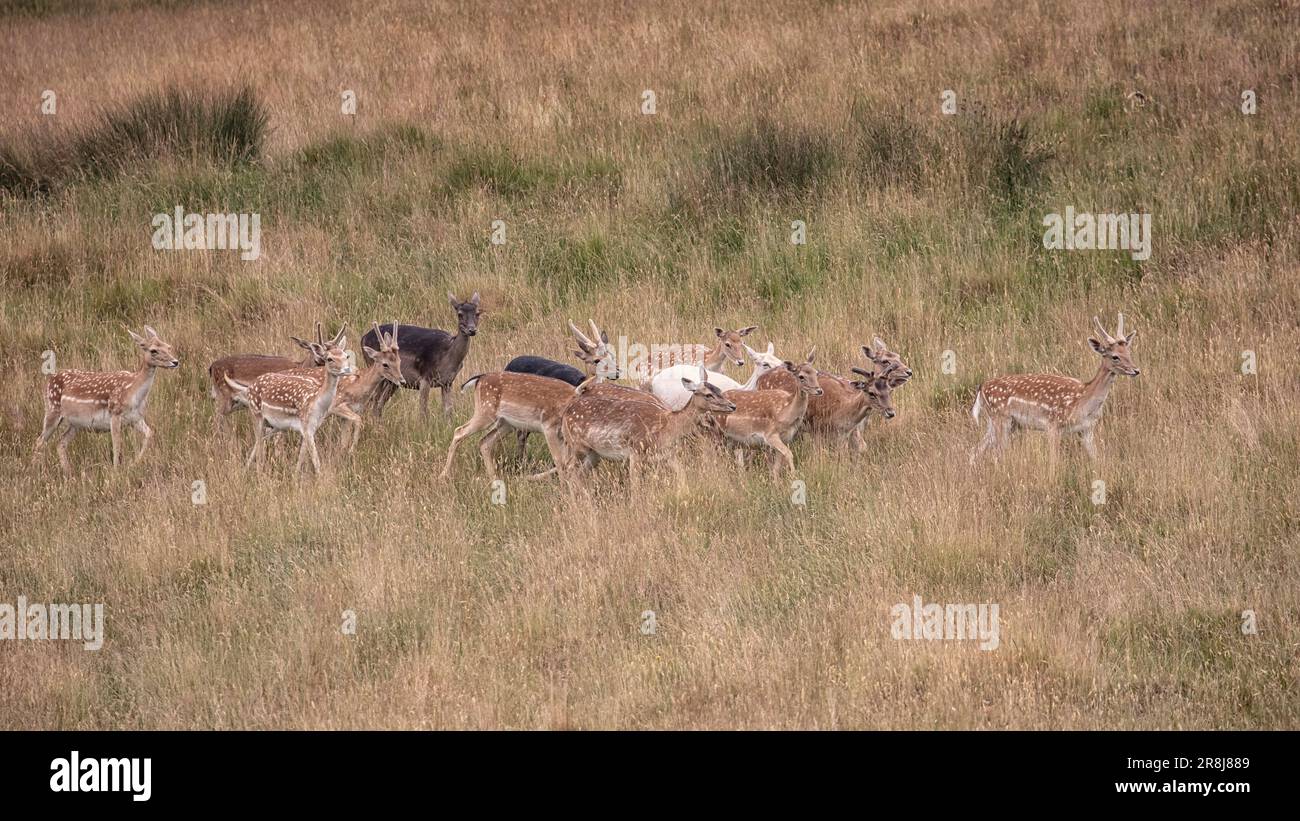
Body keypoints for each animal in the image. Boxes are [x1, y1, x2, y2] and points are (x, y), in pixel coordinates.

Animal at [33, 326, 180, 477]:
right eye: (153, 350)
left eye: (168, 347)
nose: (175, 362)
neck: (132, 390)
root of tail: (49, 380)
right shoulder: (115, 413)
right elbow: (116, 445)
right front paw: (116, 472)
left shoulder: (136, 418)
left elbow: (150, 434)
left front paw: (134, 463)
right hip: (52, 409)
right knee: (39, 441)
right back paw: (36, 471)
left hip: (75, 424)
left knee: (60, 443)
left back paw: (69, 473)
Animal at [224, 328, 355, 475]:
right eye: (329, 358)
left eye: (346, 356)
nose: (346, 369)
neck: (318, 403)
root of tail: (249, 387)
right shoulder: (306, 426)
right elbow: (316, 460)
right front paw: (320, 478)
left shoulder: (311, 428)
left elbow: (302, 457)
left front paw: (296, 475)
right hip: (256, 415)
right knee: (259, 445)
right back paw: (258, 473)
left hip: (274, 425)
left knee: (258, 443)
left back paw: (246, 469)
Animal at [560, 365, 737, 486]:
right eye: (708, 395)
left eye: (719, 389)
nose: (732, 406)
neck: (667, 427)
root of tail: (567, 410)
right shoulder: (635, 451)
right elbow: (636, 486)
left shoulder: (667, 454)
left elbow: (682, 475)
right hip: (576, 444)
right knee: (568, 469)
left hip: (594, 453)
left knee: (579, 473)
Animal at [970, 314, 1140, 472]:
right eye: (1115, 356)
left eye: (1129, 352)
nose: (1136, 370)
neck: (1083, 402)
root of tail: (982, 388)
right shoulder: (1053, 425)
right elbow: (1054, 461)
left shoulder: (1087, 430)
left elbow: (1096, 458)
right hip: (1001, 418)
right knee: (998, 453)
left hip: (1000, 422)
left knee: (976, 450)